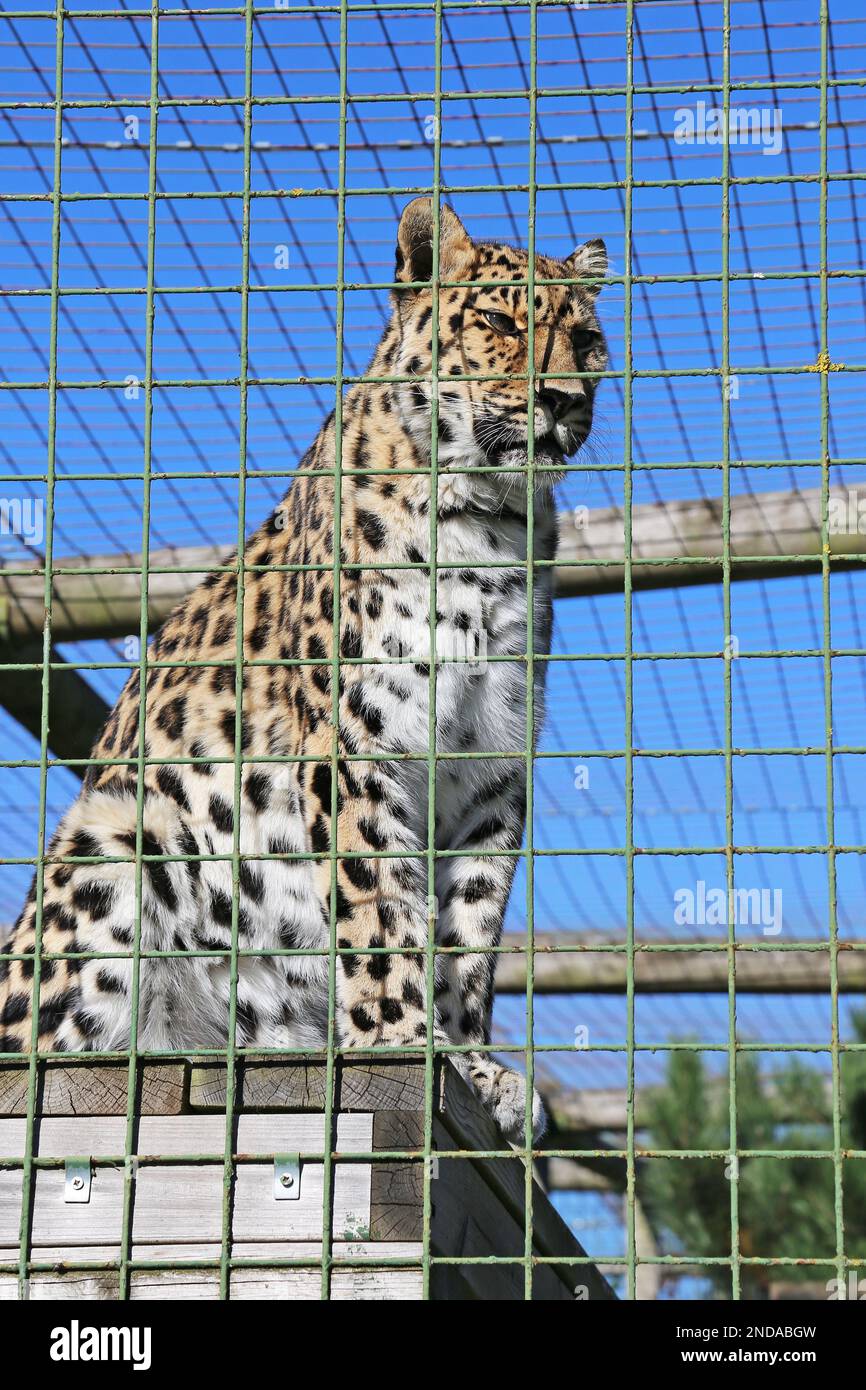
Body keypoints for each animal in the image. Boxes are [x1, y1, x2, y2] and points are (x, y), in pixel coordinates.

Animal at [0, 199, 608, 1142]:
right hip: (114, 833)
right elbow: (382, 903)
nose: (563, 400)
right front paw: (401, 1036)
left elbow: (469, 929)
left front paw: (475, 1067)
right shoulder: (356, 744)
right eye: (503, 325)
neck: (490, 525)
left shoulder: (492, 768)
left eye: (586, 340)